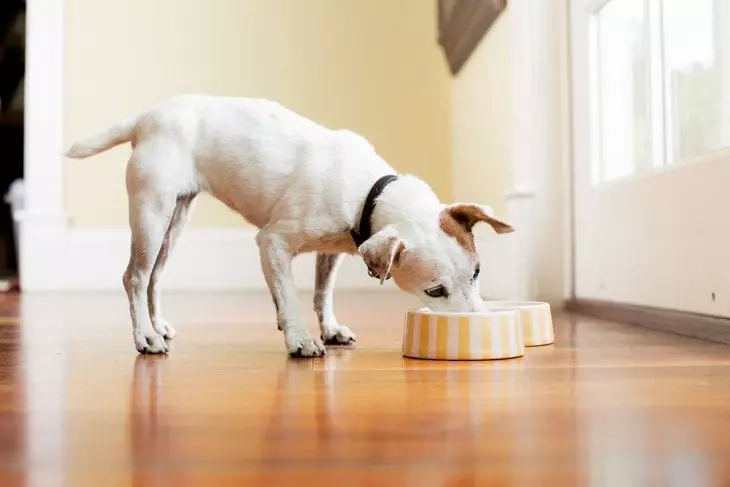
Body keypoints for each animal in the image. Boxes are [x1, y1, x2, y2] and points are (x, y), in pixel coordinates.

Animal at [67, 94, 512, 358]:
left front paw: (328, 329)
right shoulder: (273, 244)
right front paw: (299, 337)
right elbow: (291, 297)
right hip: (152, 215)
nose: (479, 322)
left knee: (155, 277)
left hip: (174, 223)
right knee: (135, 277)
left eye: (477, 273)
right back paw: (145, 336)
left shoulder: (332, 251)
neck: (368, 190)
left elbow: (321, 293)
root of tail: (148, 116)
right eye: (435, 291)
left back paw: (157, 326)